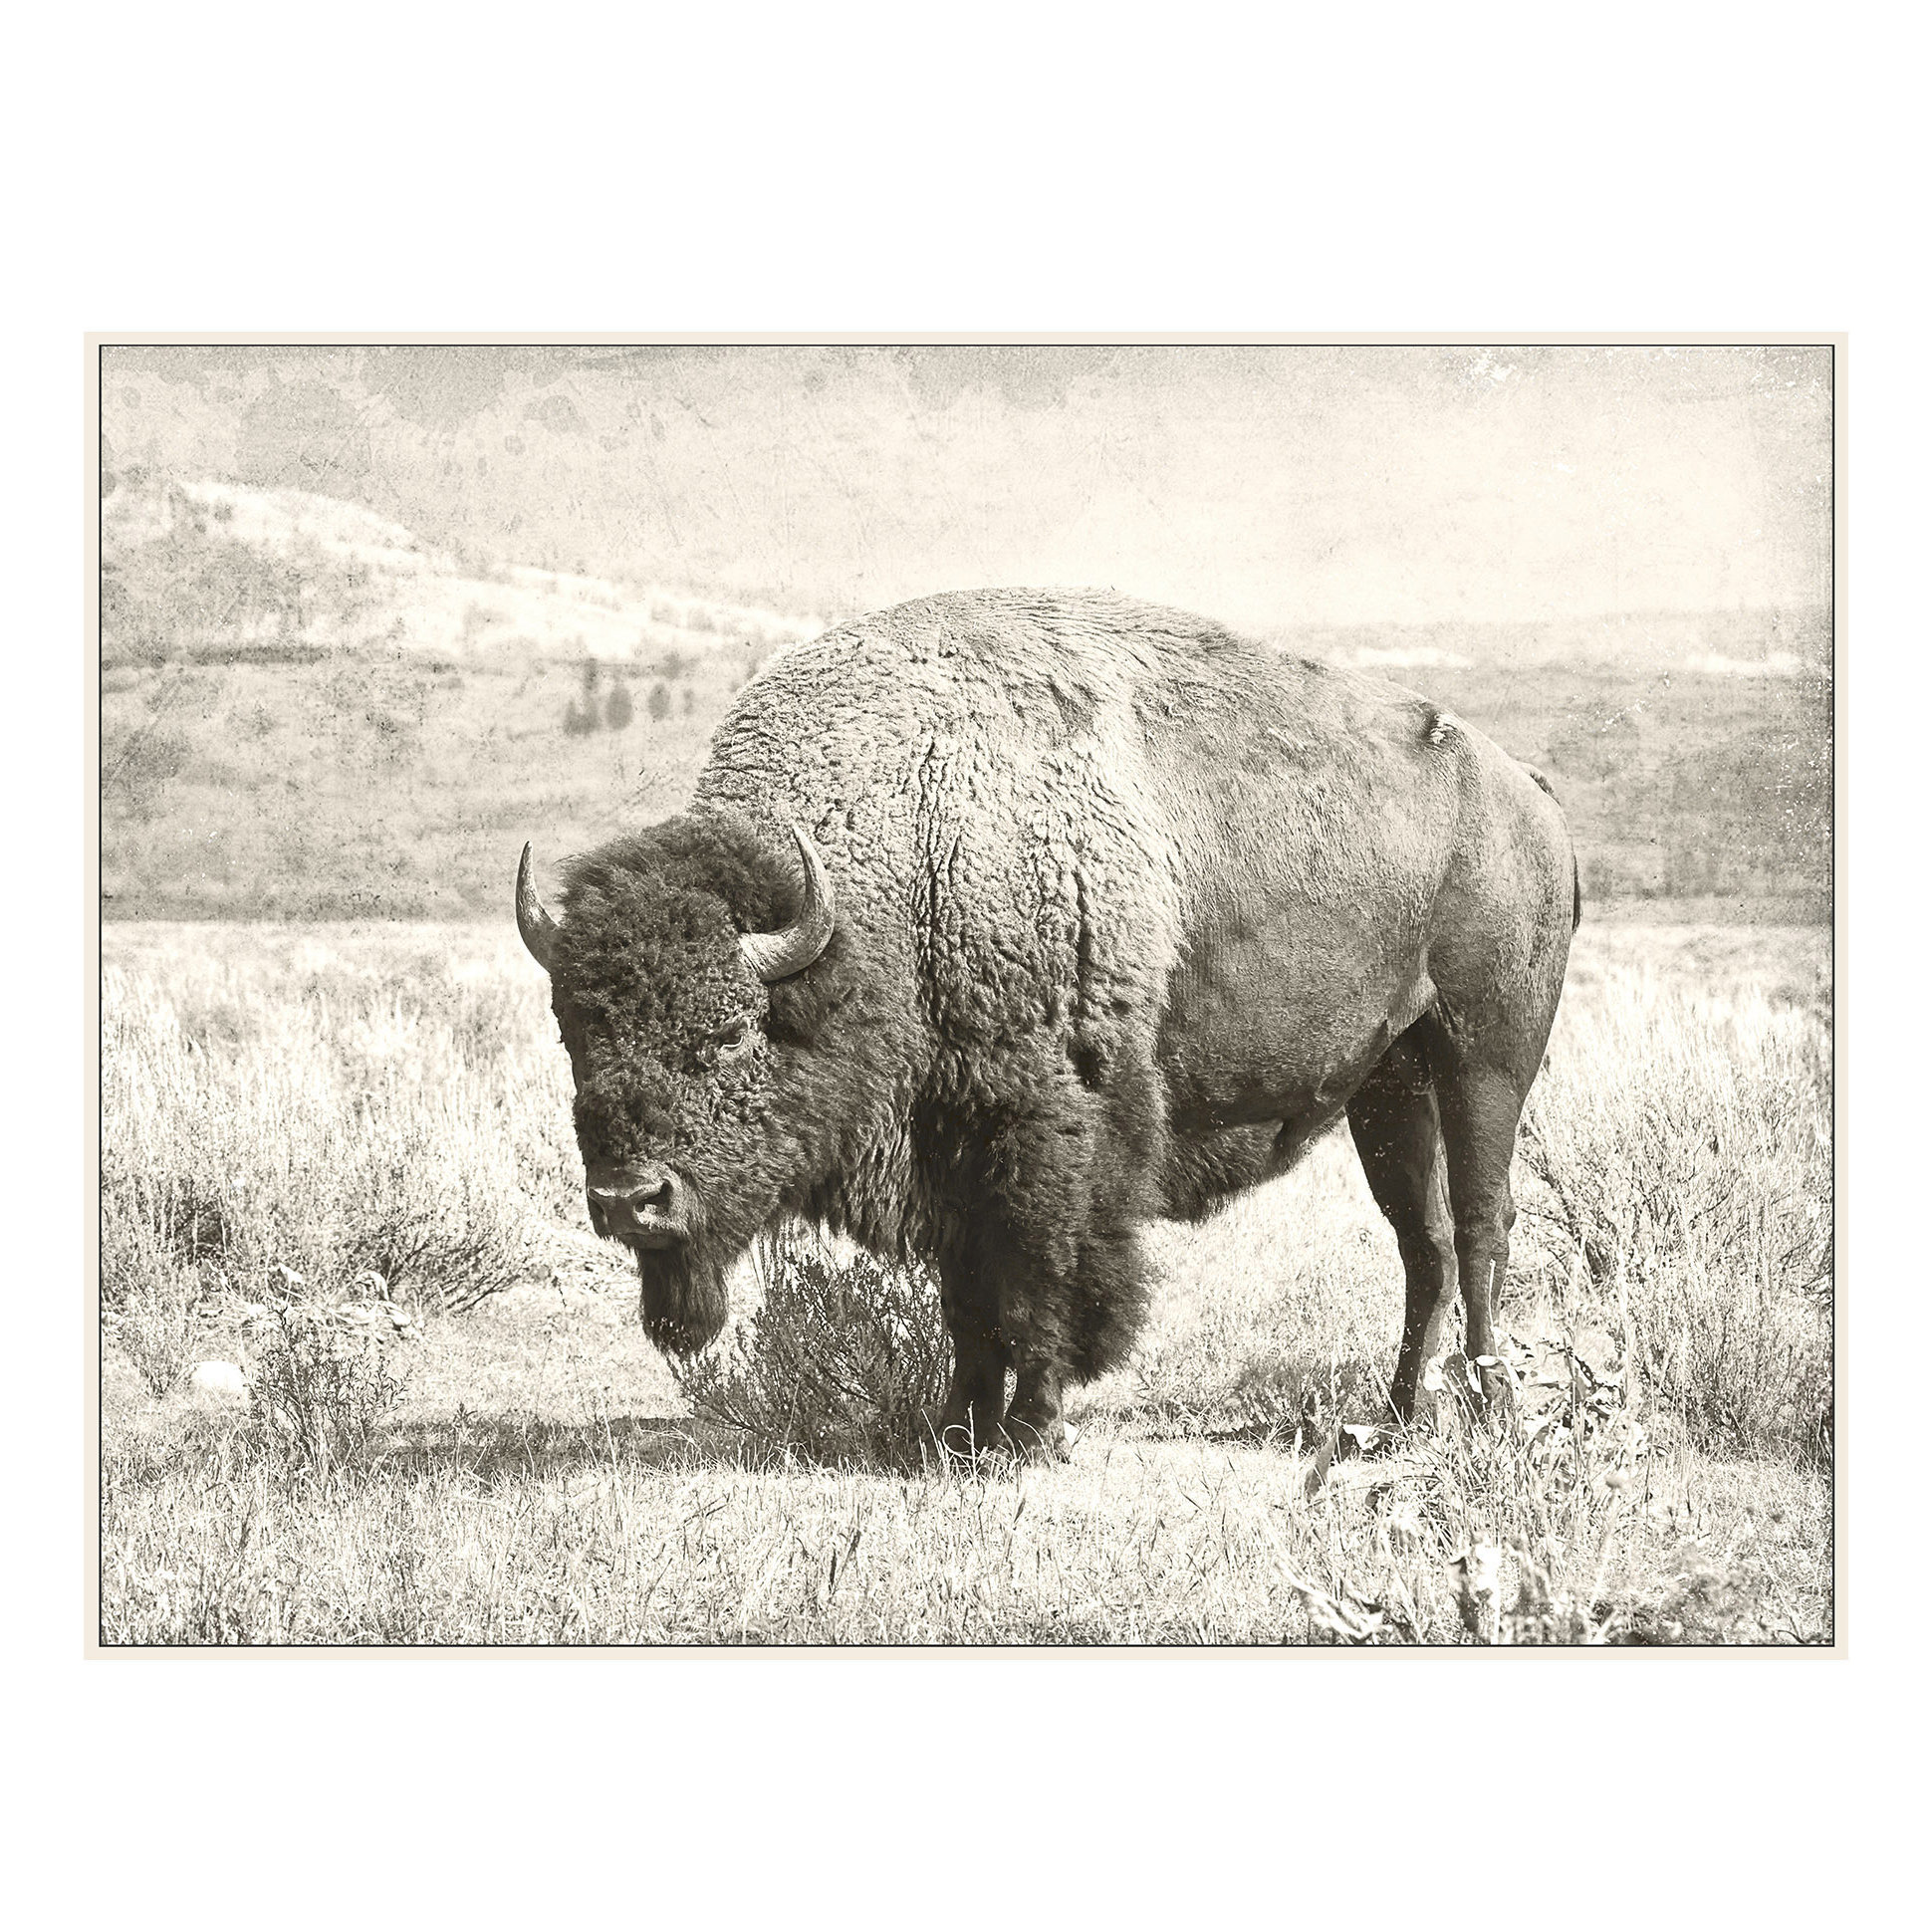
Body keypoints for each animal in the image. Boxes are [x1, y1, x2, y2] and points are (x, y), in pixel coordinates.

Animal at [516, 588, 1577, 1458]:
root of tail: (1528, 793)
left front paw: (1031, 1431)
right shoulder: (946, 1149)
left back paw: (1492, 1411)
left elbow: (1040, 1286)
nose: (628, 1201)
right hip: (1387, 1083)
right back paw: (1396, 1418)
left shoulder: (1046, 1132)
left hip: (1485, 1058)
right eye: (574, 1035)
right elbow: (967, 1304)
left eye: (730, 1033)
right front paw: (956, 1430)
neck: (905, 853)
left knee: (1480, 1224)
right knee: (1422, 1241)